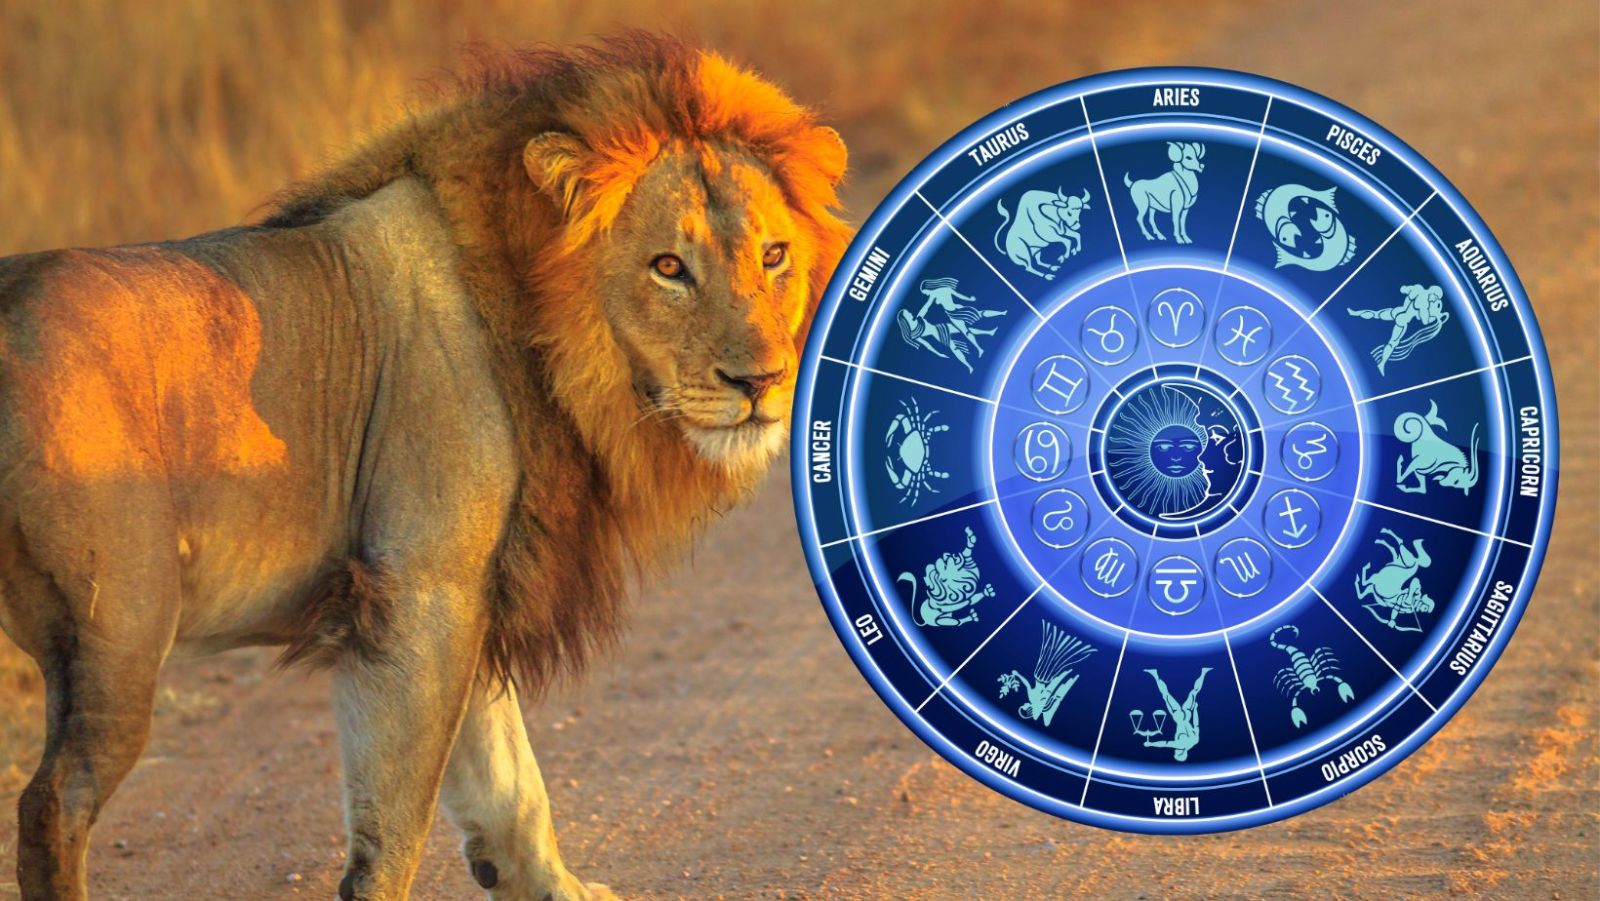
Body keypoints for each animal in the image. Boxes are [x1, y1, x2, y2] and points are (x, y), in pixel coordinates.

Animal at [0, 33, 848, 900]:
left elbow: (510, 783)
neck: (544, 331)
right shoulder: (419, 587)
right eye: (669, 267)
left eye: (774, 256)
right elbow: (398, 823)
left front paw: (555, 886)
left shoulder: (471, 589)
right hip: (119, 633)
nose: (762, 380)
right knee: (52, 804)